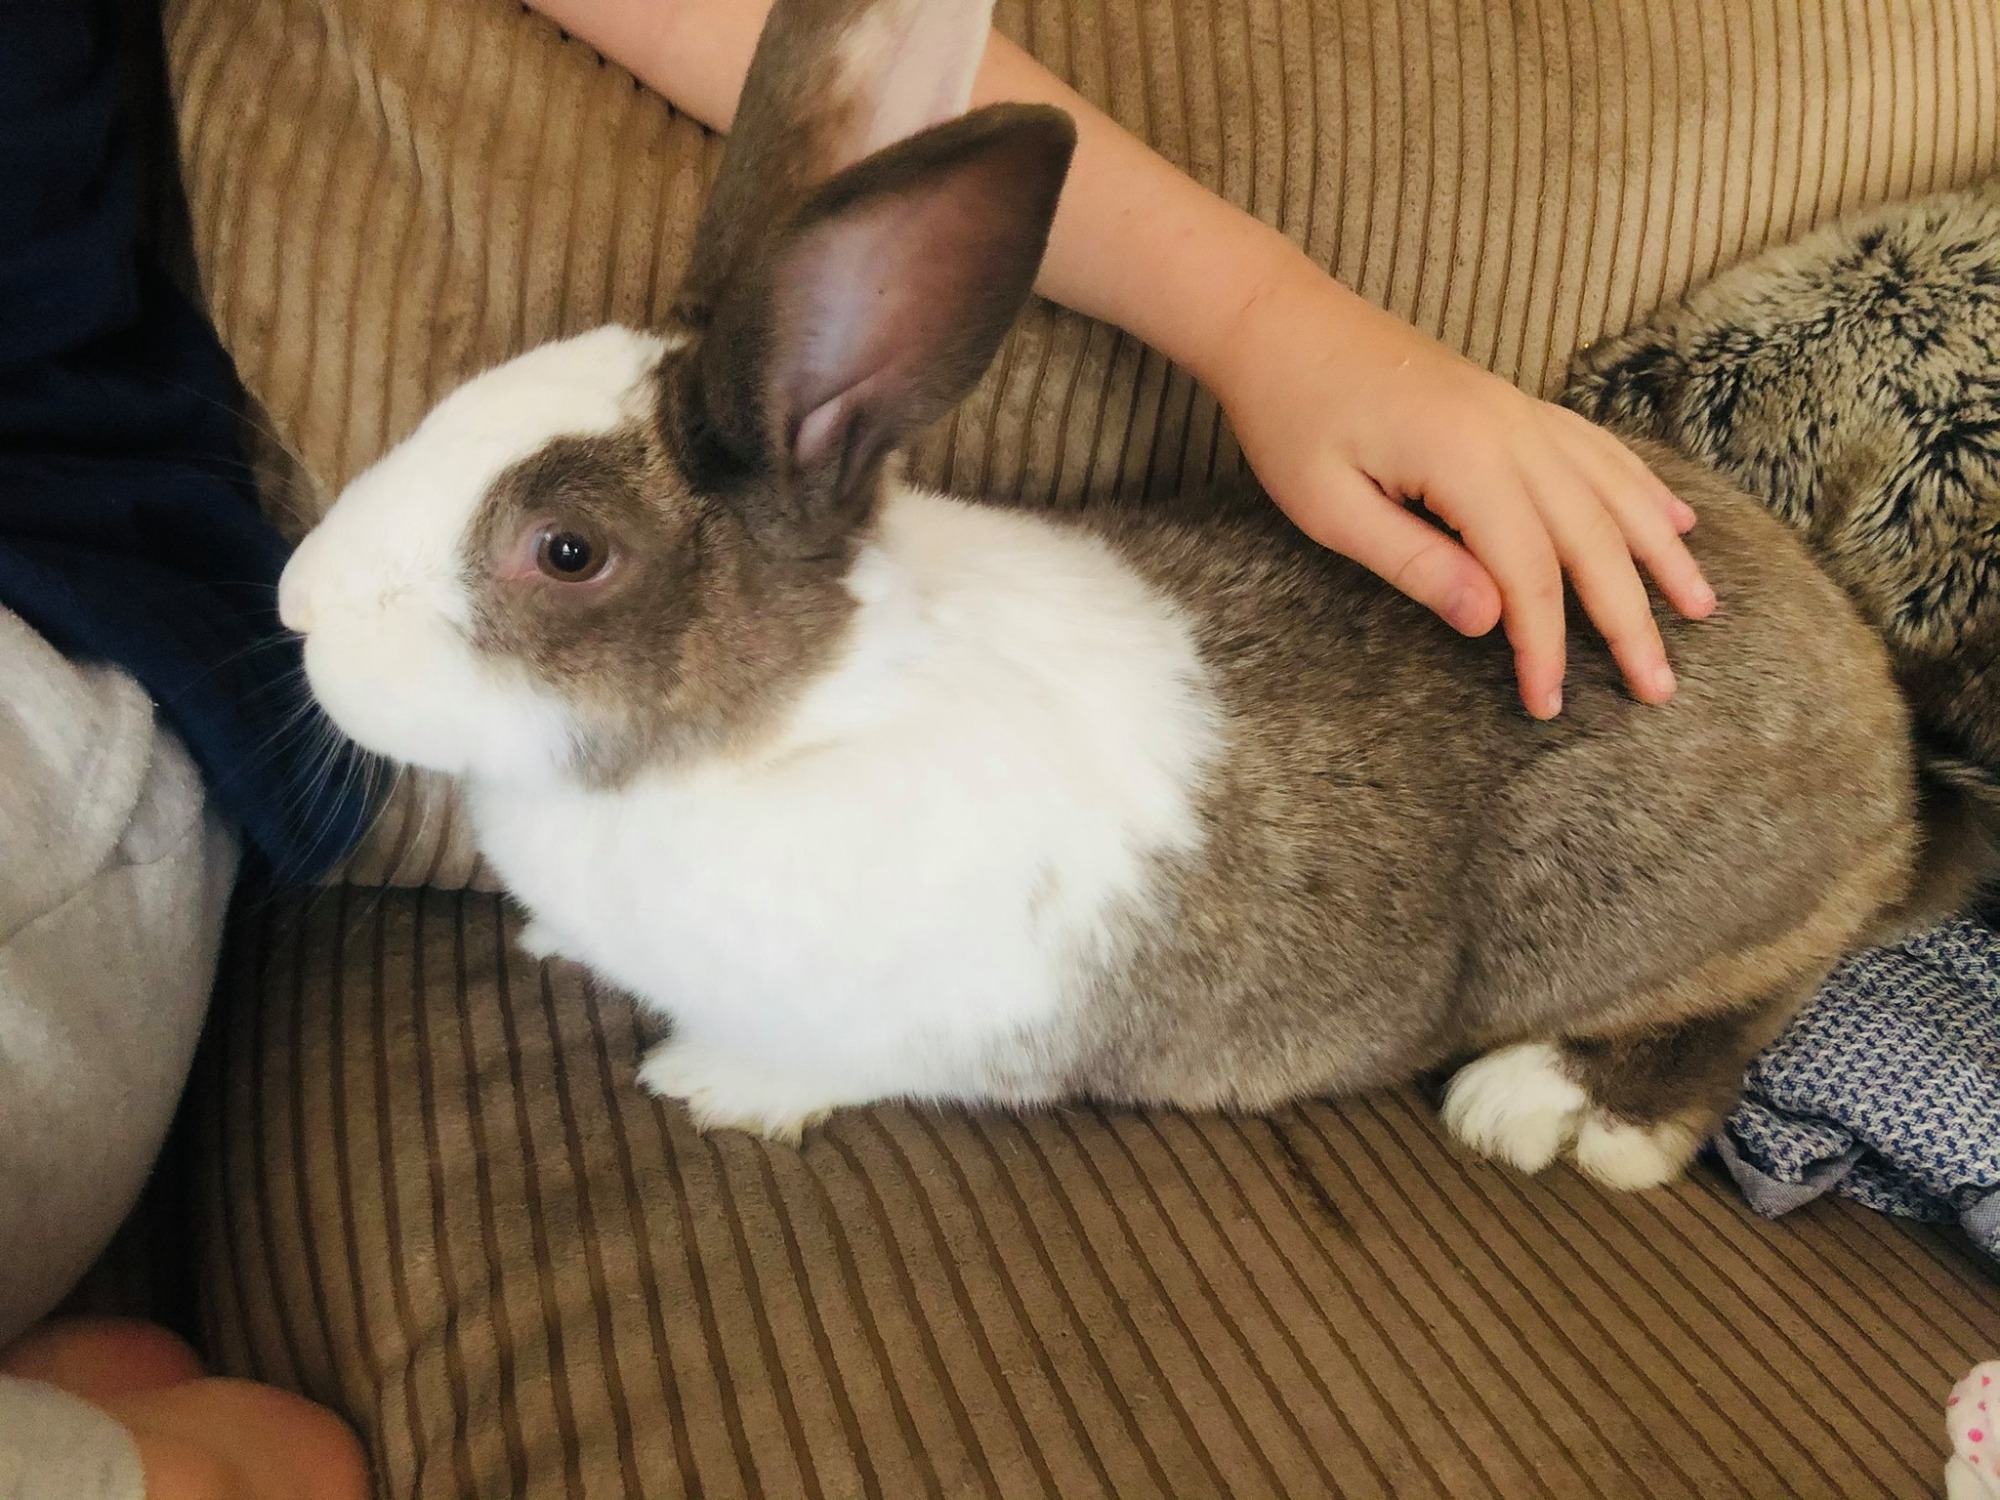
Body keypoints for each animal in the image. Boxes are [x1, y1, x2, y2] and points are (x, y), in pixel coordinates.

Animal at [278, 0, 1950, 1191]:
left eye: (567, 552)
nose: (296, 606)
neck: (789, 721)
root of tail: (1878, 716)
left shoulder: (916, 1014)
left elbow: (818, 1064)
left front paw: (708, 1089)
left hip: (1664, 920)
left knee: (1761, 995)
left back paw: (1550, 1106)